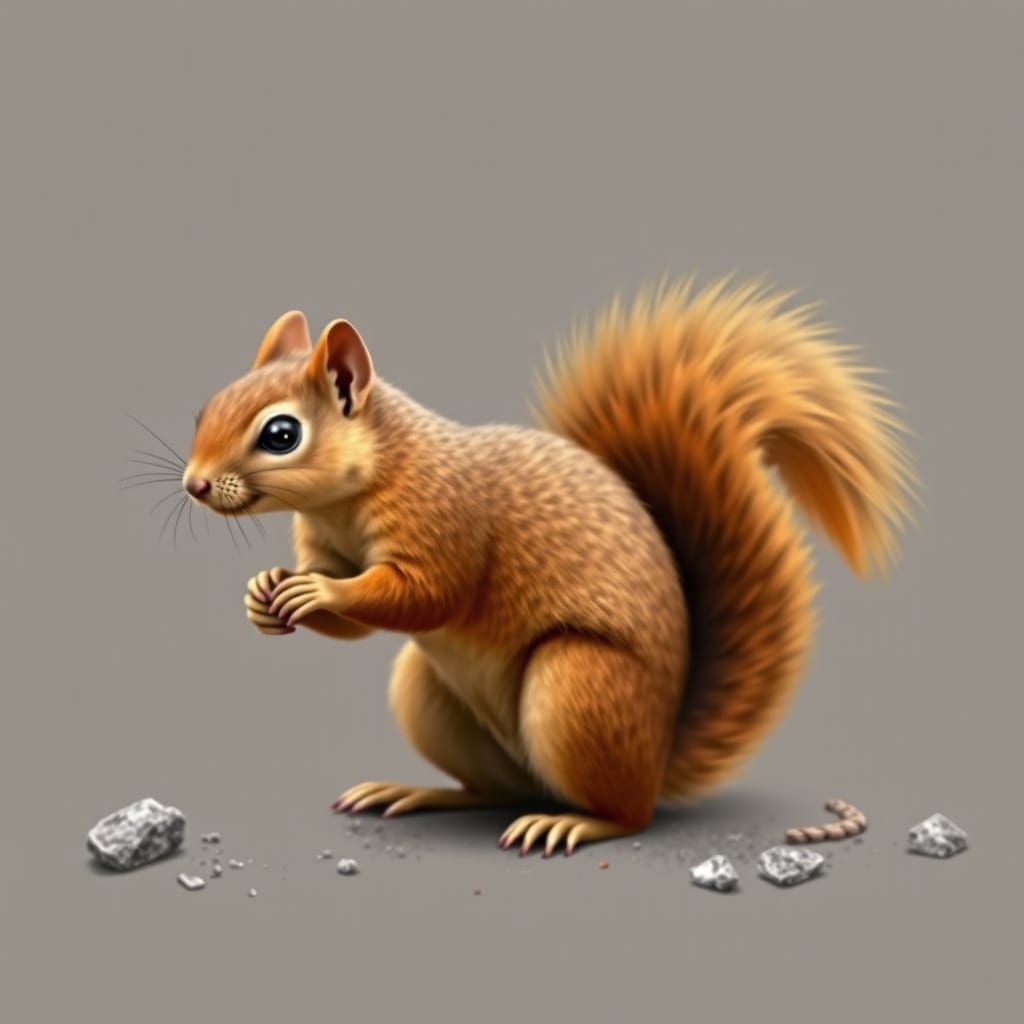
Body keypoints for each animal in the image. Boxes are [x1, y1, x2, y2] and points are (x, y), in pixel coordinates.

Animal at [182, 277, 917, 857]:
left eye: (282, 435)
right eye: (204, 409)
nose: (193, 485)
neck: (348, 497)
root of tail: (657, 759)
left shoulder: (445, 518)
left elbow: (425, 594)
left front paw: (315, 592)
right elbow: (357, 622)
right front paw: (262, 592)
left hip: (577, 685)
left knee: (627, 814)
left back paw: (572, 824)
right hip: (428, 697)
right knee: (496, 790)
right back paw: (420, 792)